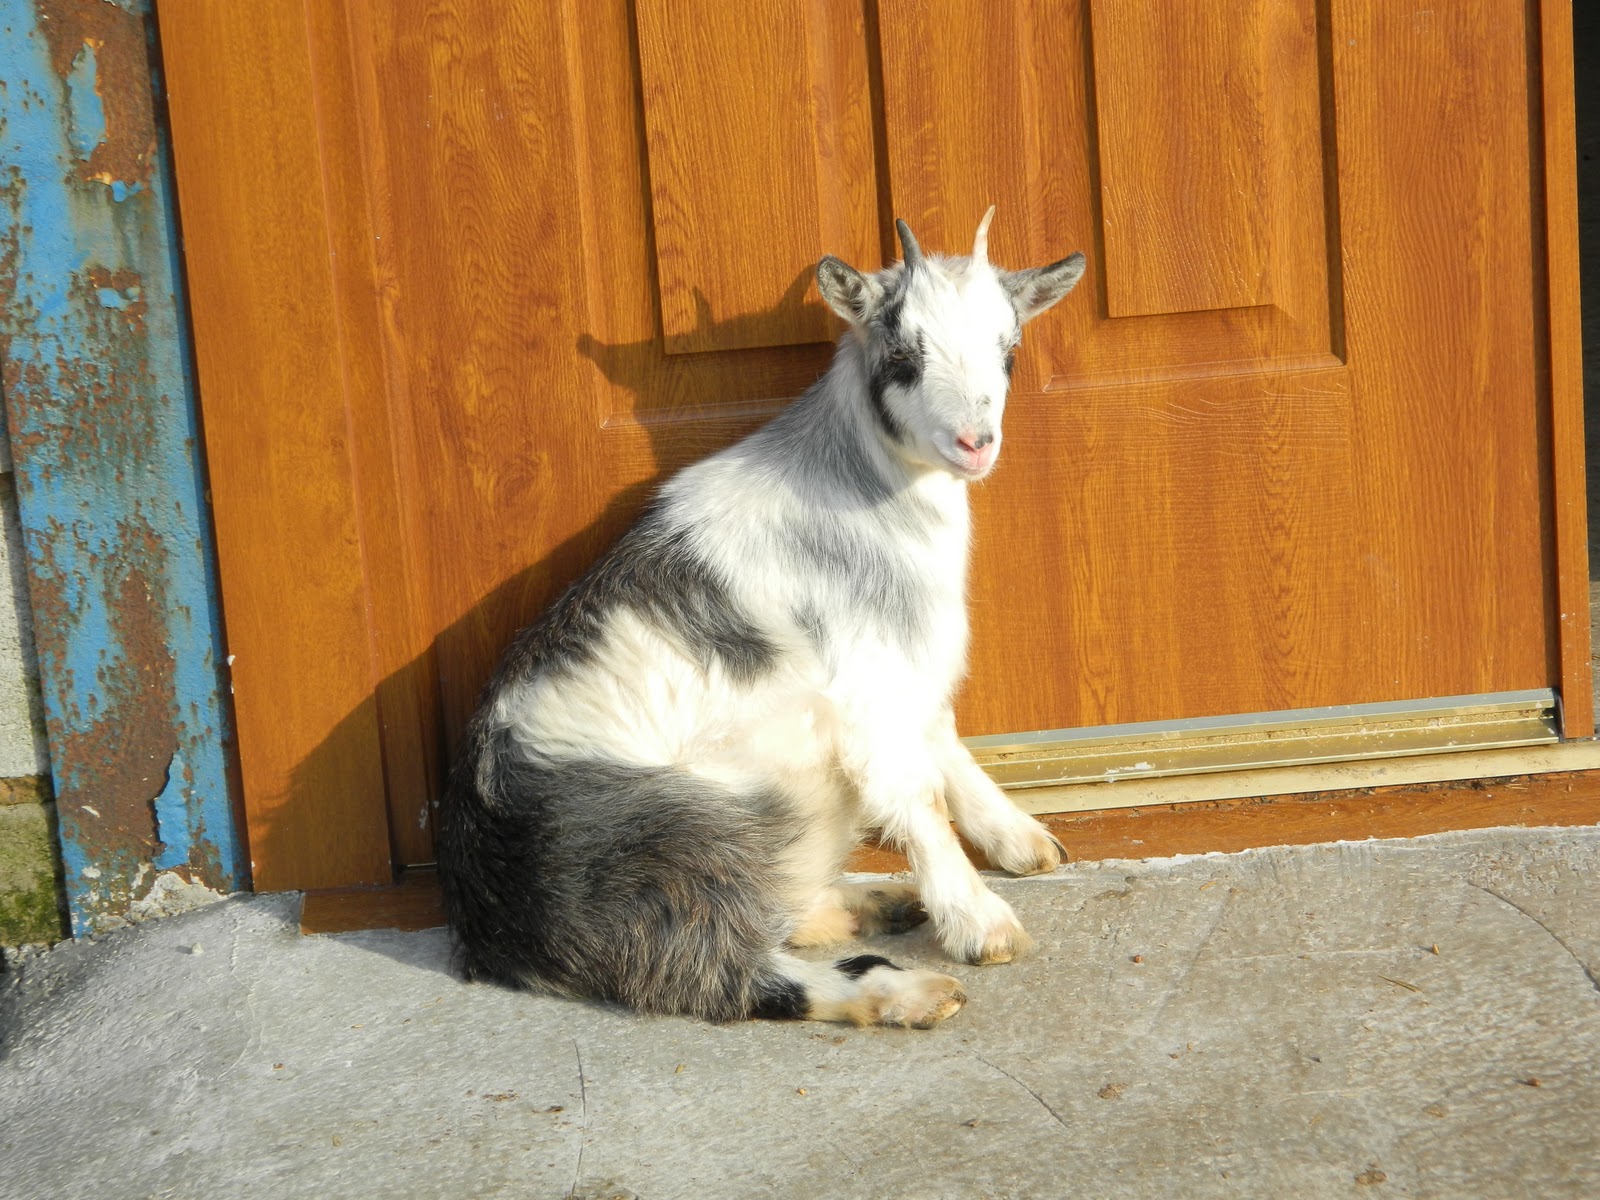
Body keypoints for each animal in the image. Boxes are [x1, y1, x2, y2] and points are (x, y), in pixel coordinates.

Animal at [437, 209, 1087, 1027]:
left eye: (1009, 348)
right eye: (902, 353)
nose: (974, 444)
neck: (859, 484)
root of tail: (491, 926)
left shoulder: (910, 668)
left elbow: (945, 745)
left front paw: (1022, 841)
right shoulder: (869, 691)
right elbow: (919, 795)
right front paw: (984, 926)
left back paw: (869, 907)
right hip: (675, 849)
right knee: (724, 972)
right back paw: (905, 988)